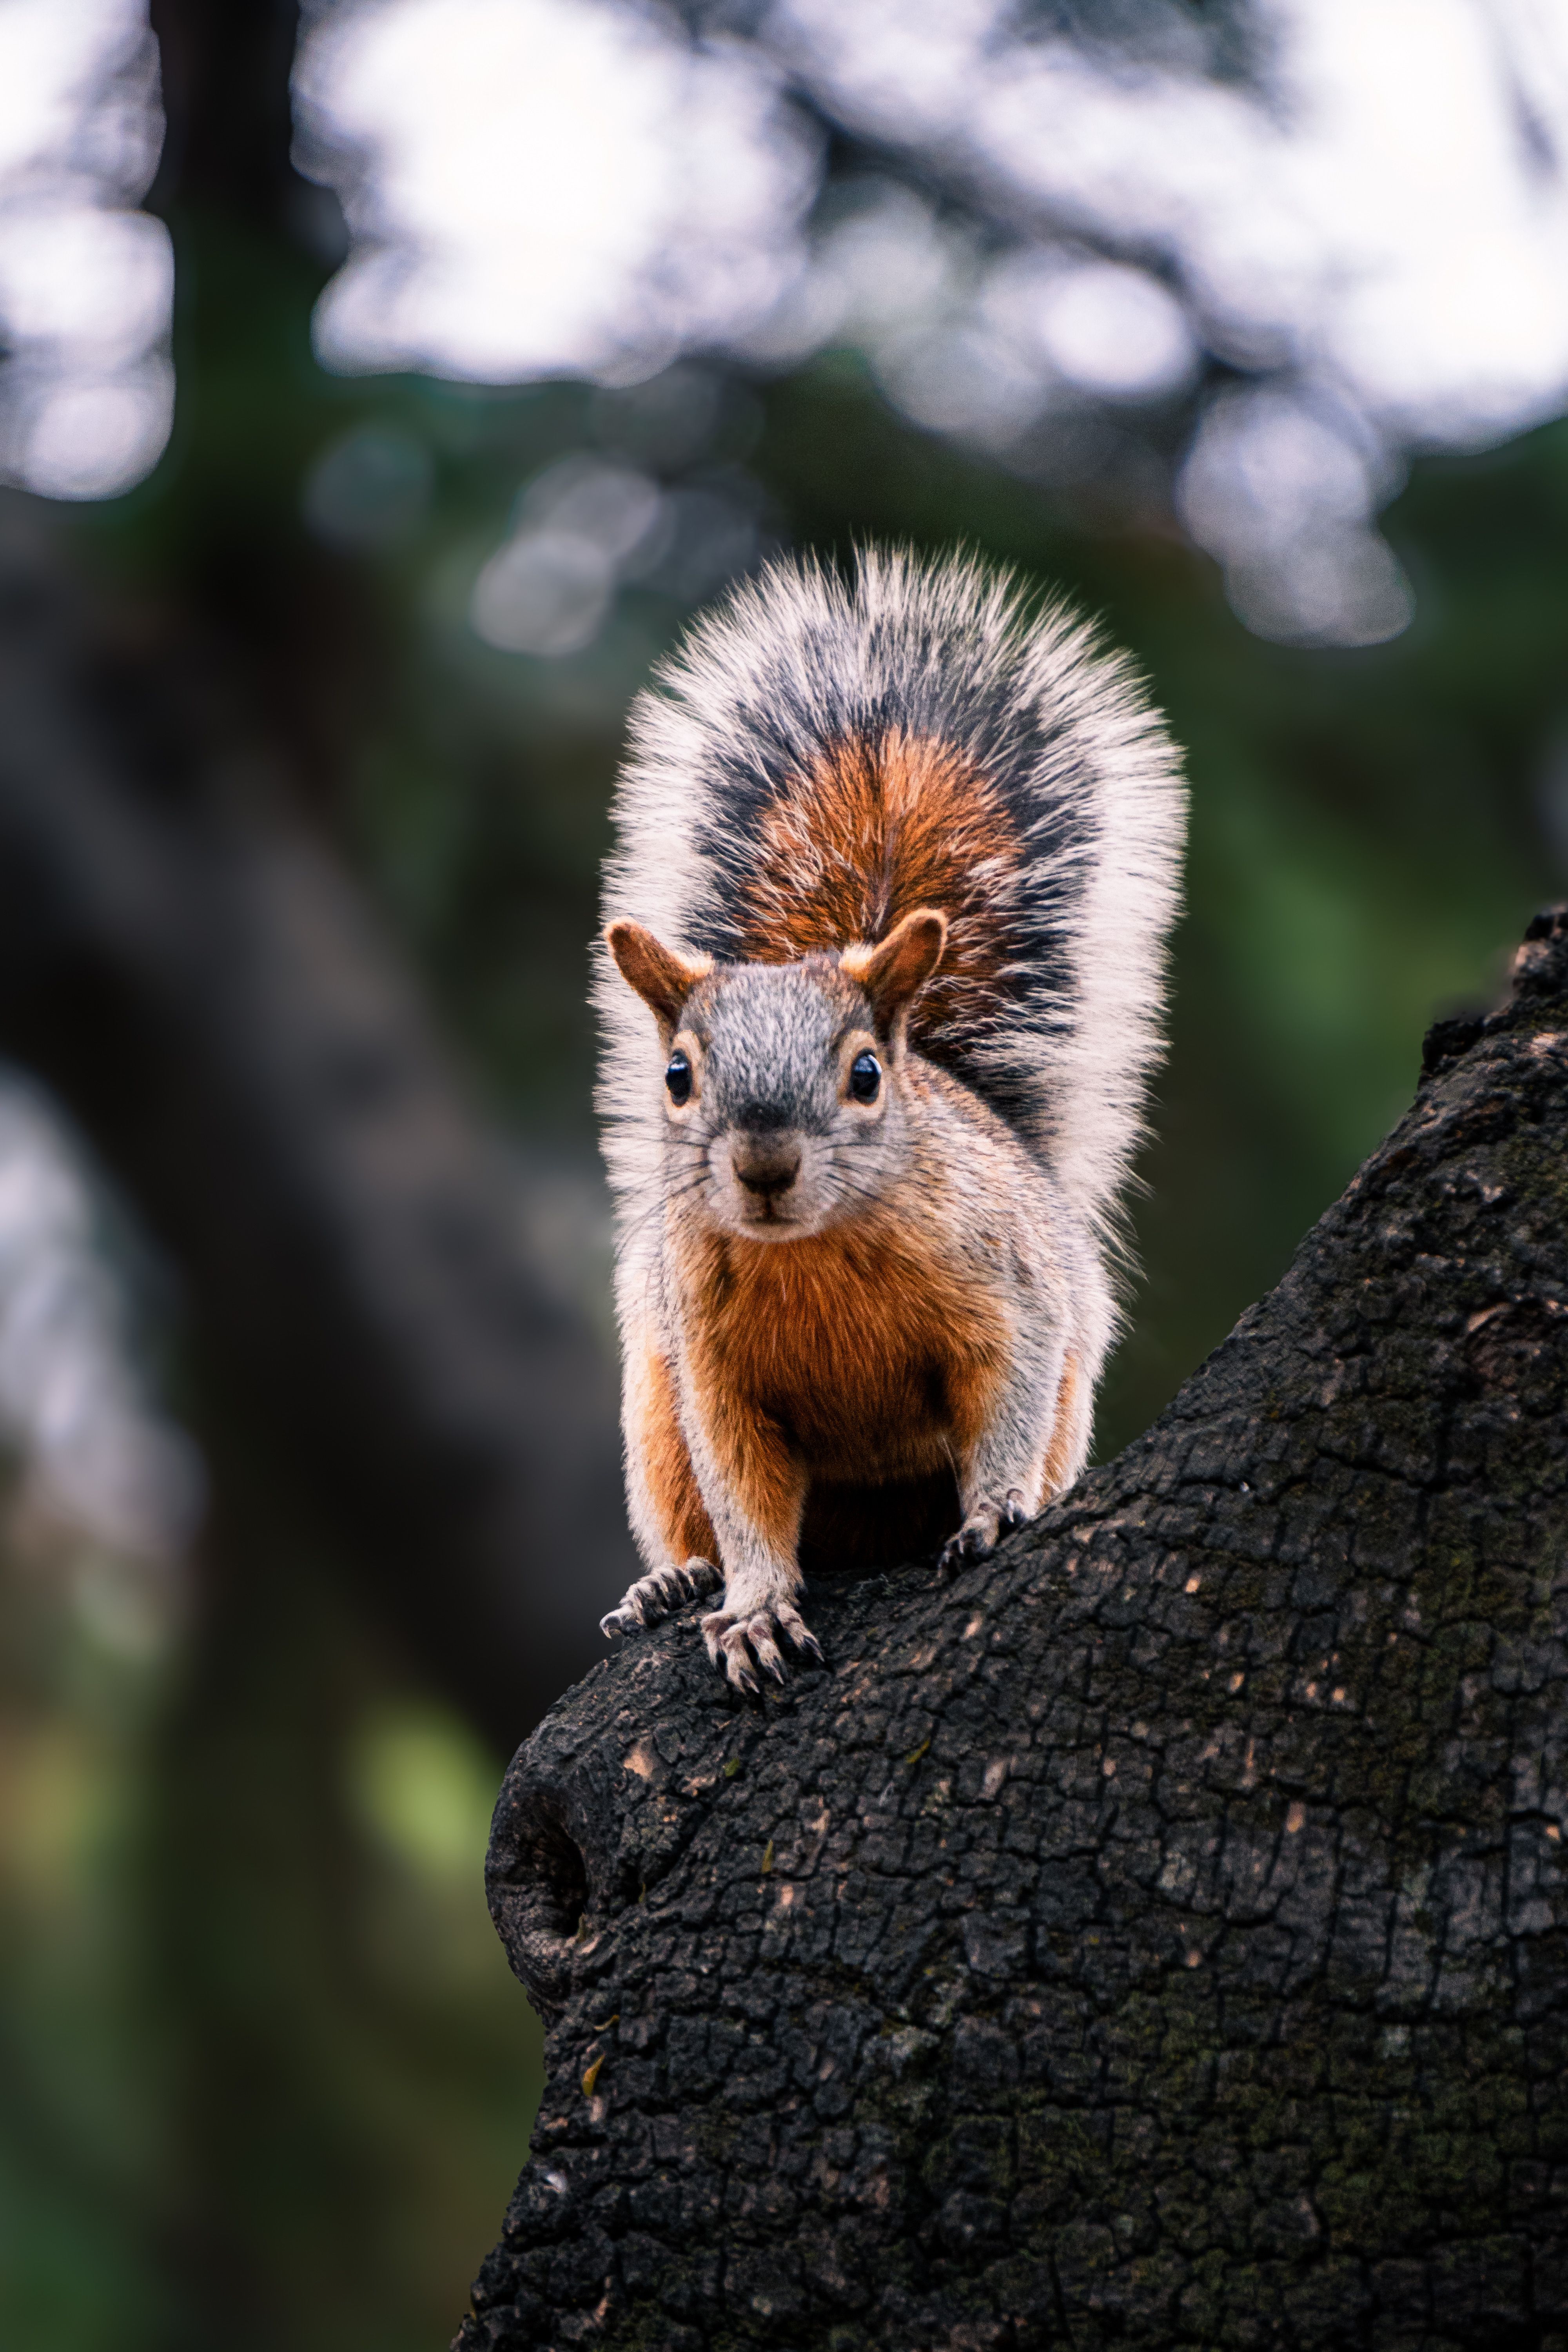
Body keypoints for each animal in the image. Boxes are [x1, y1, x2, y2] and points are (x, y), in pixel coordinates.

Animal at [595, 548, 1185, 1692]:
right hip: (651, 1417)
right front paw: (755, 1605)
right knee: (694, 1512)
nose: (765, 1165)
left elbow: (1008, 1392)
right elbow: (742, 1490)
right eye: (677, 1075)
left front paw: (996, 1511)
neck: (813, 1254)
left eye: (868, 1074)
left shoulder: (1010, 1291)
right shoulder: (712, 1370)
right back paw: (674, 1582)